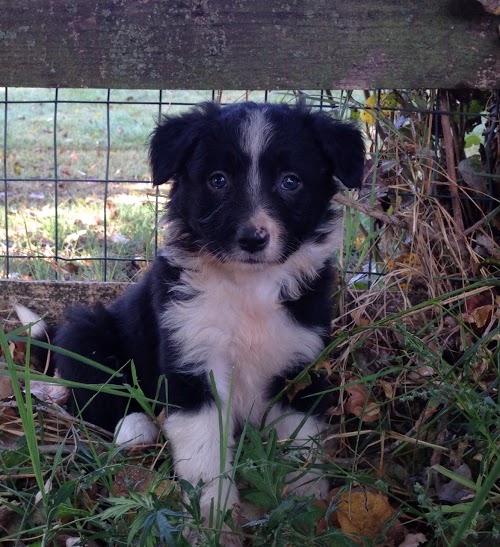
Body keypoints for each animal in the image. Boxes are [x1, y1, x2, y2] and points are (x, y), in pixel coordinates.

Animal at [18, 101, 364, 540]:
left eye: (291, 181)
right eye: (218, 180)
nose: (253, 238)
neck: (248, 287)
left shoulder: (300, 363)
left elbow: (302, 443)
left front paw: (307, 510)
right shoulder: (193, 361)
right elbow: (204, 454)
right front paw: (211, 520)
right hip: (86, 333)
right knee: (95, 400)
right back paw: (135, 427)